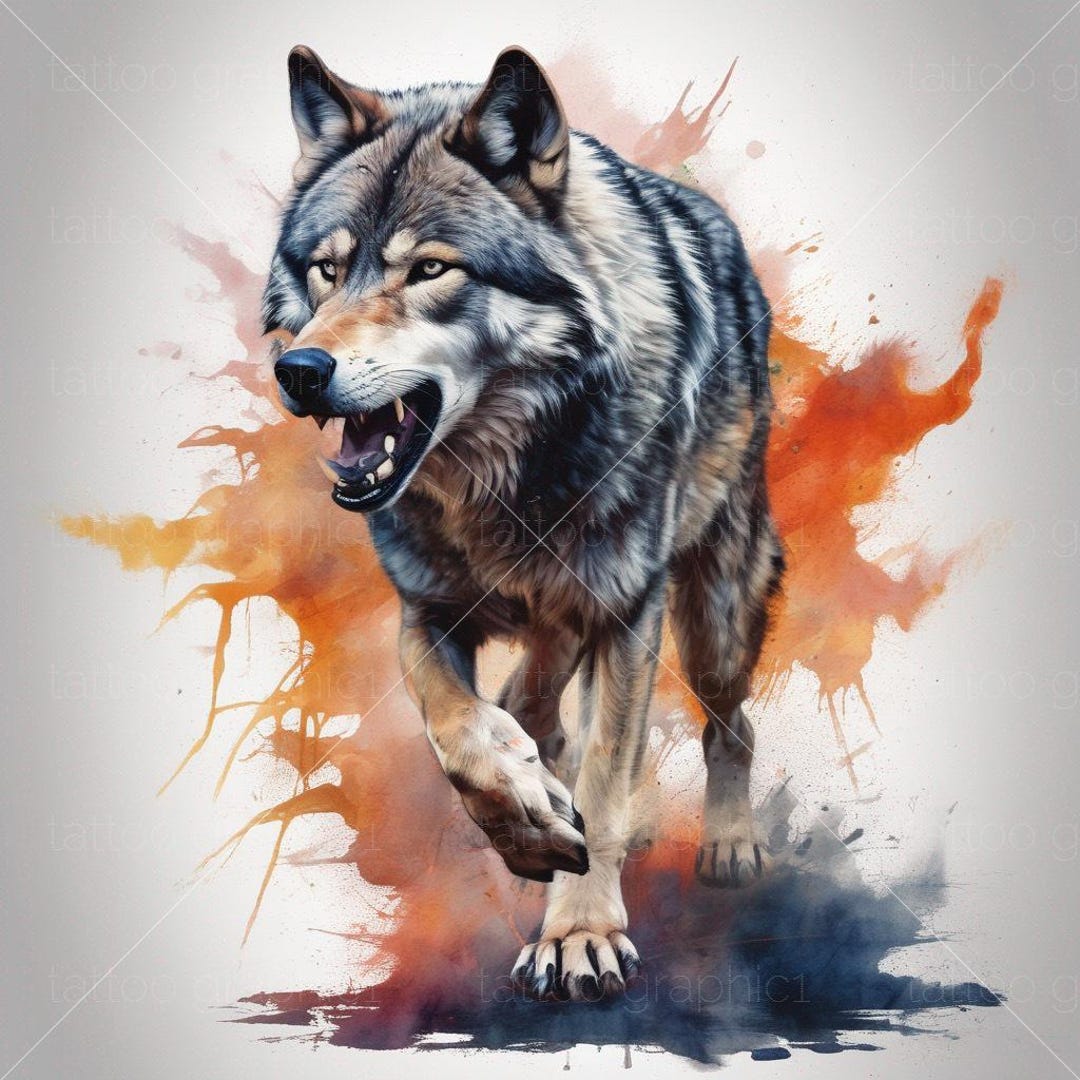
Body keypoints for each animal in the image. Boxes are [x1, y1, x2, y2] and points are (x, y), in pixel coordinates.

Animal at [263, 45, 784, 1001]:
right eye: (326, 267)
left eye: (432, 270)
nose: (301, 370)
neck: (500, 484)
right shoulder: (426, 612)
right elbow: (461, 731)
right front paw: (529, 826)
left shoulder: (627, 611)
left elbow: (605, 773)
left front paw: (578, 933)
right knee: (535, 699)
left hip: (713, 617)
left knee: (725, 724)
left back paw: (727, 844)